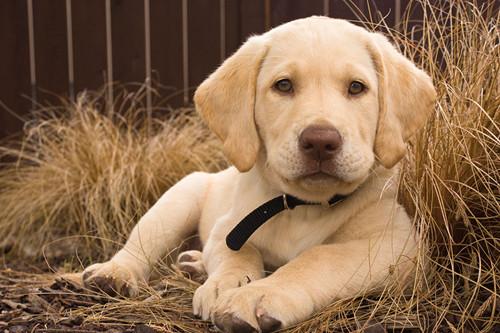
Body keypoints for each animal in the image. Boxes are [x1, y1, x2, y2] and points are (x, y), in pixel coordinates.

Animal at [82, 17, 434, 332]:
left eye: (357, 87)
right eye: (283, 85)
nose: (321, 141)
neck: (303, 207)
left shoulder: (397, 244)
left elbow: (320, 257)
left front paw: (258, 294)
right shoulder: (228, 227)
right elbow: (239, 253)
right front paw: (227, 283)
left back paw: (194, 265)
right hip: (181, 195)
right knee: (142, 243)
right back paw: (115, 273)